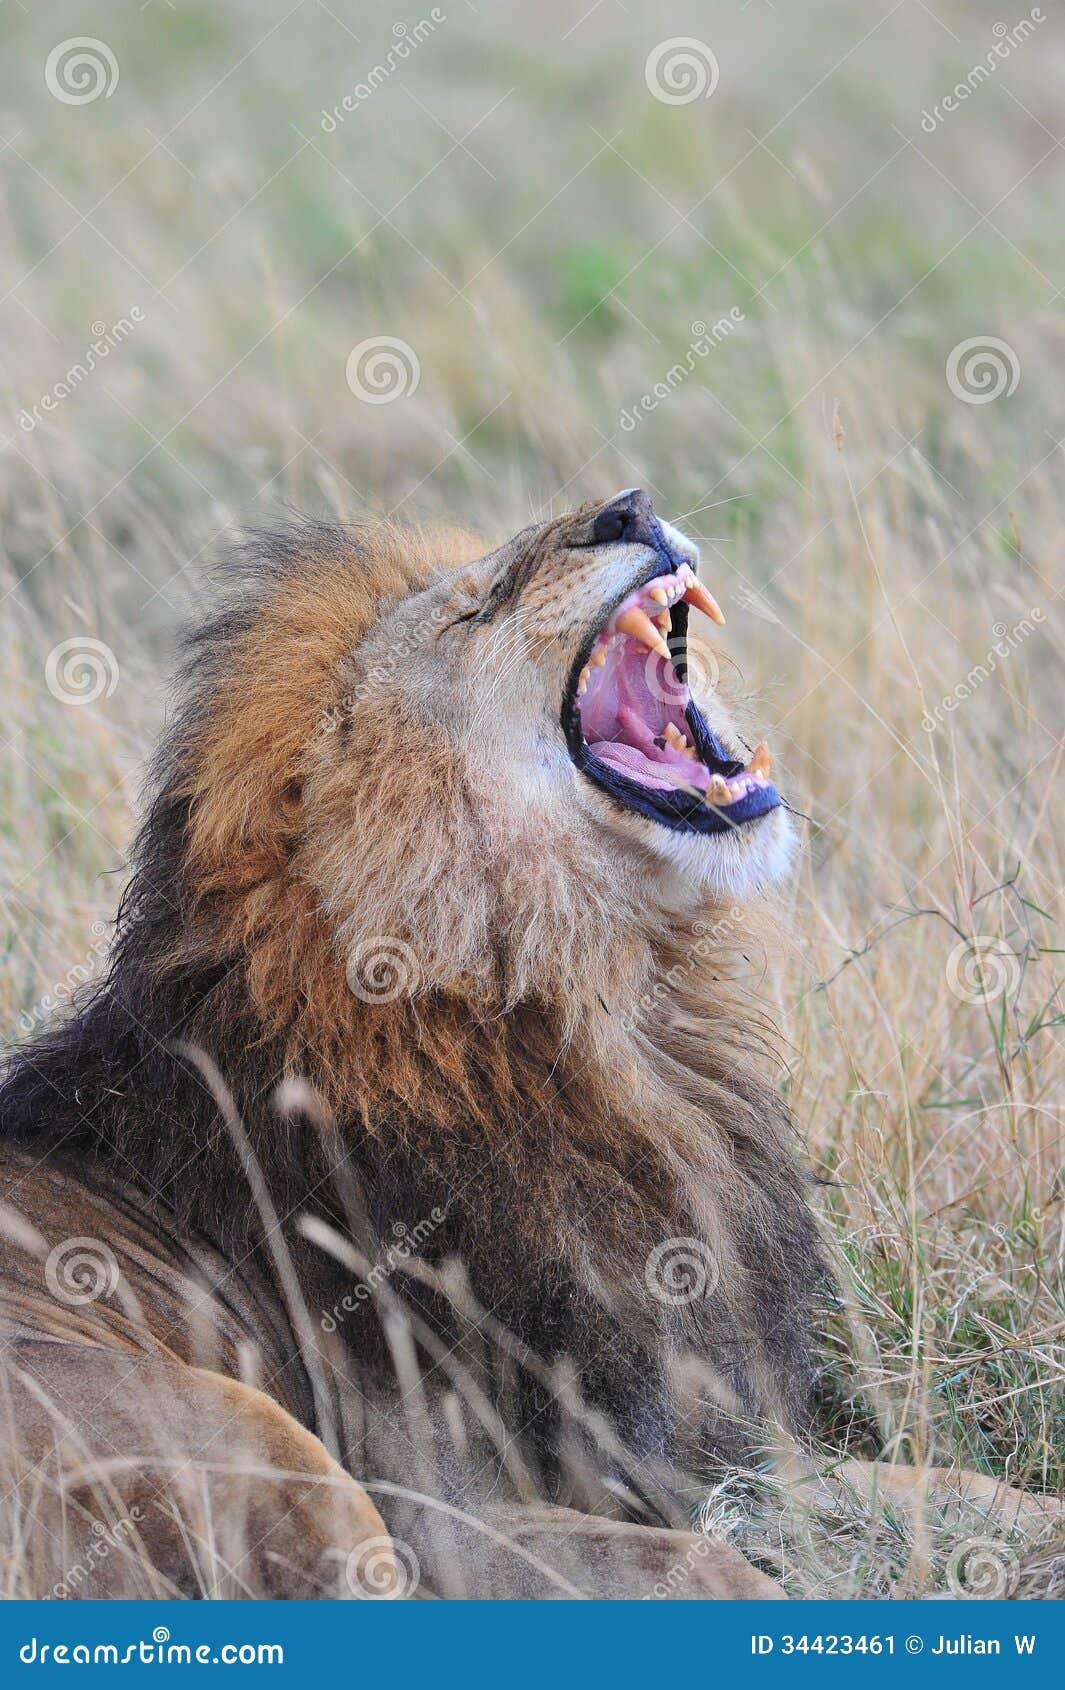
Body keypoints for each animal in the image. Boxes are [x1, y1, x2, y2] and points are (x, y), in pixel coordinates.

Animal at [0, 489, 1055, 1598]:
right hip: (281, 1457)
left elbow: (936, 1489)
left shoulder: (690, 1444)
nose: (627, 506)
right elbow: (717, 1573)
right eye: (476, 607)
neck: (616, 1017)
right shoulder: (451, 1519)